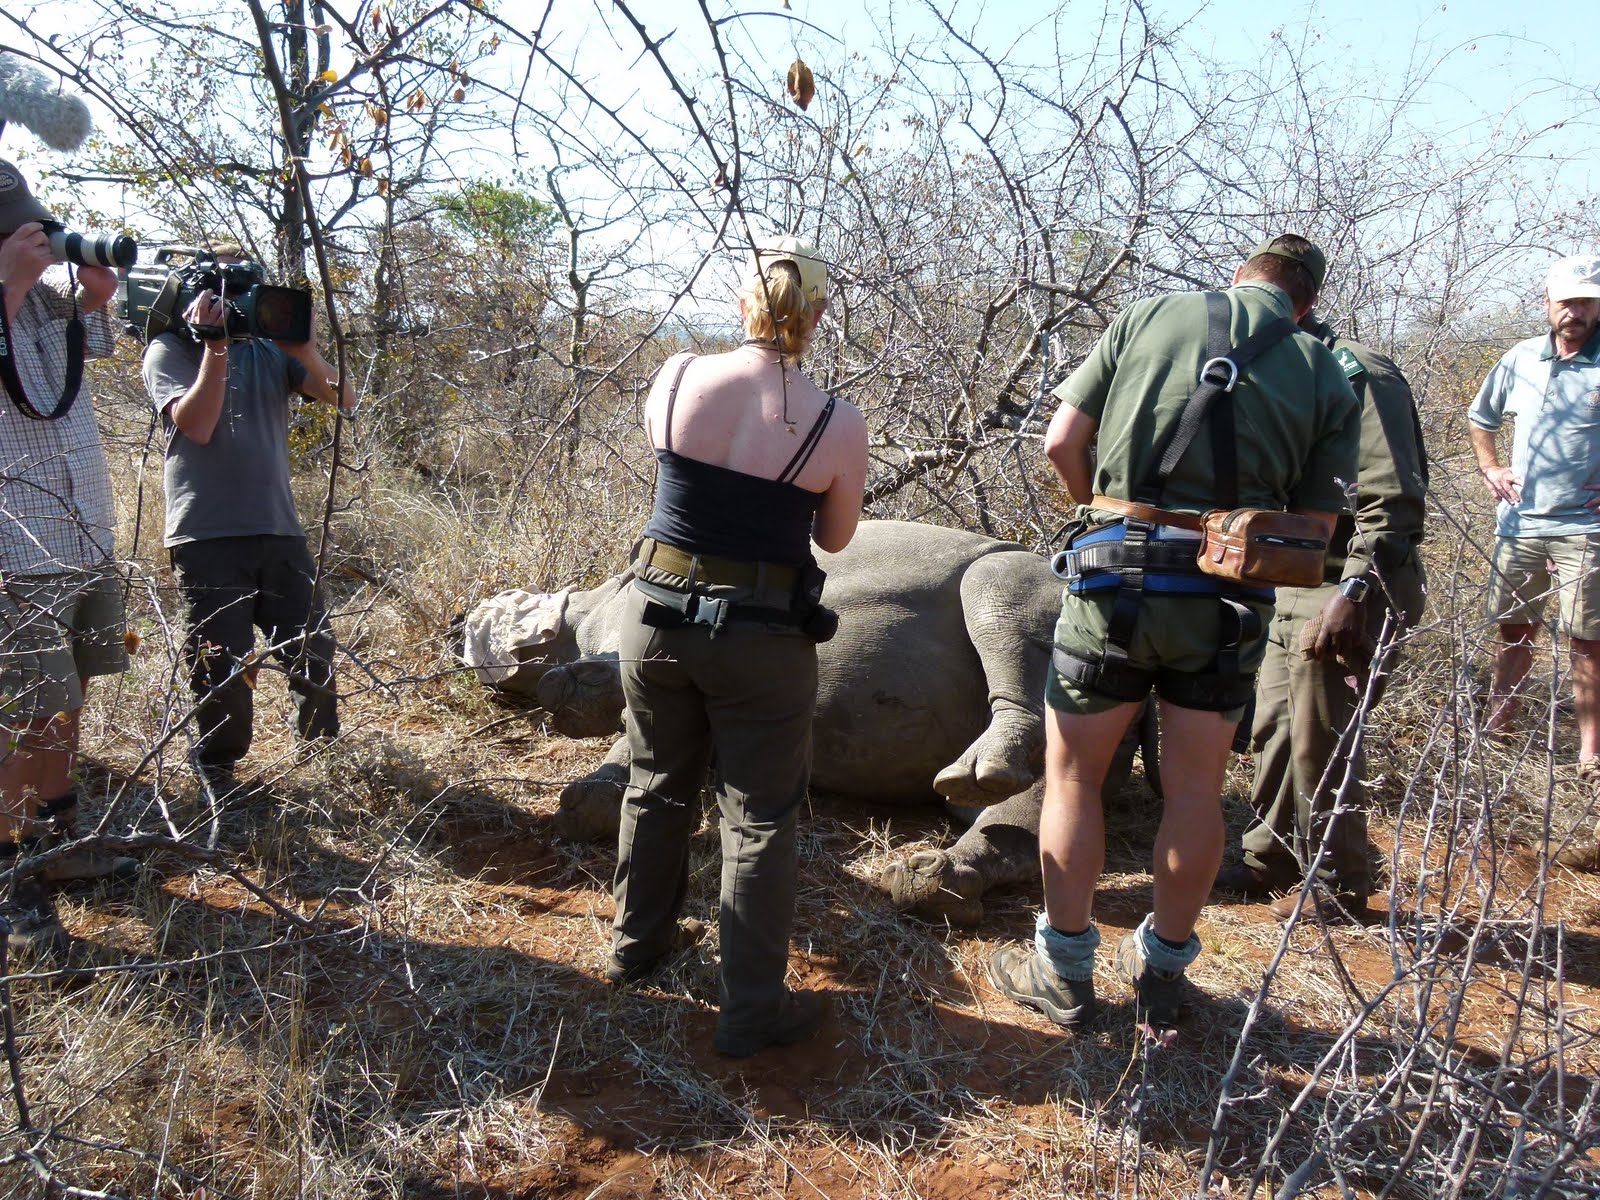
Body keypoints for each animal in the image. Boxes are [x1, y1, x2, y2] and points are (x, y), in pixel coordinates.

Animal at [464, 519, 1155, 924]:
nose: (452, 626)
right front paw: (589, 782)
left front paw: (577, 695)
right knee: (1047, 793)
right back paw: (930, 877)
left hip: (1062, 598)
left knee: (996, 588)